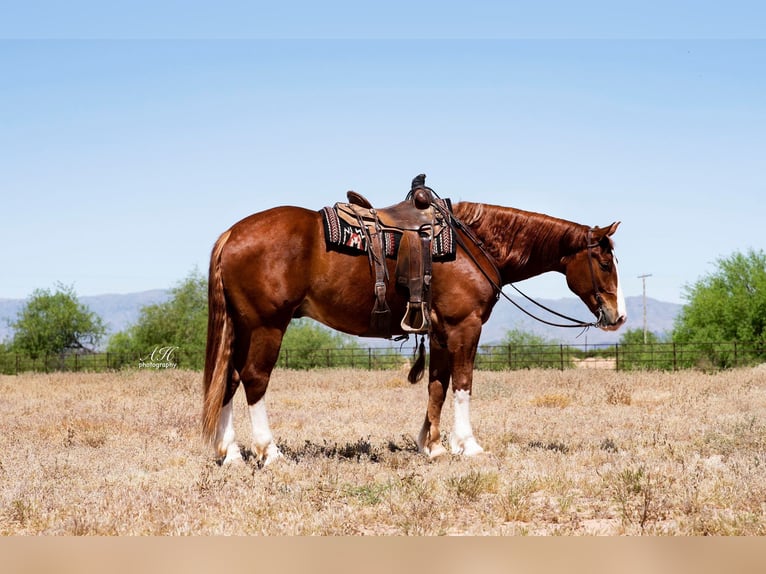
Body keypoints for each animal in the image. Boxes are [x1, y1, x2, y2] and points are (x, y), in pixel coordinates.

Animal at [202, 190, 626, 465]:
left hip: (244, 327)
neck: (471, 245)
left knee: (231, 379)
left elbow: (436, 385)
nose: (617, 316)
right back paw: (269, 451)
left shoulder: (439, 332)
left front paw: (431, 445)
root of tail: (232, 234)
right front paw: (467, 445)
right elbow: (463, 384)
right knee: (255, 379)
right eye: (605, 263)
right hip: (267, 325)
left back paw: (231, 453)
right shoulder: (465, 327)